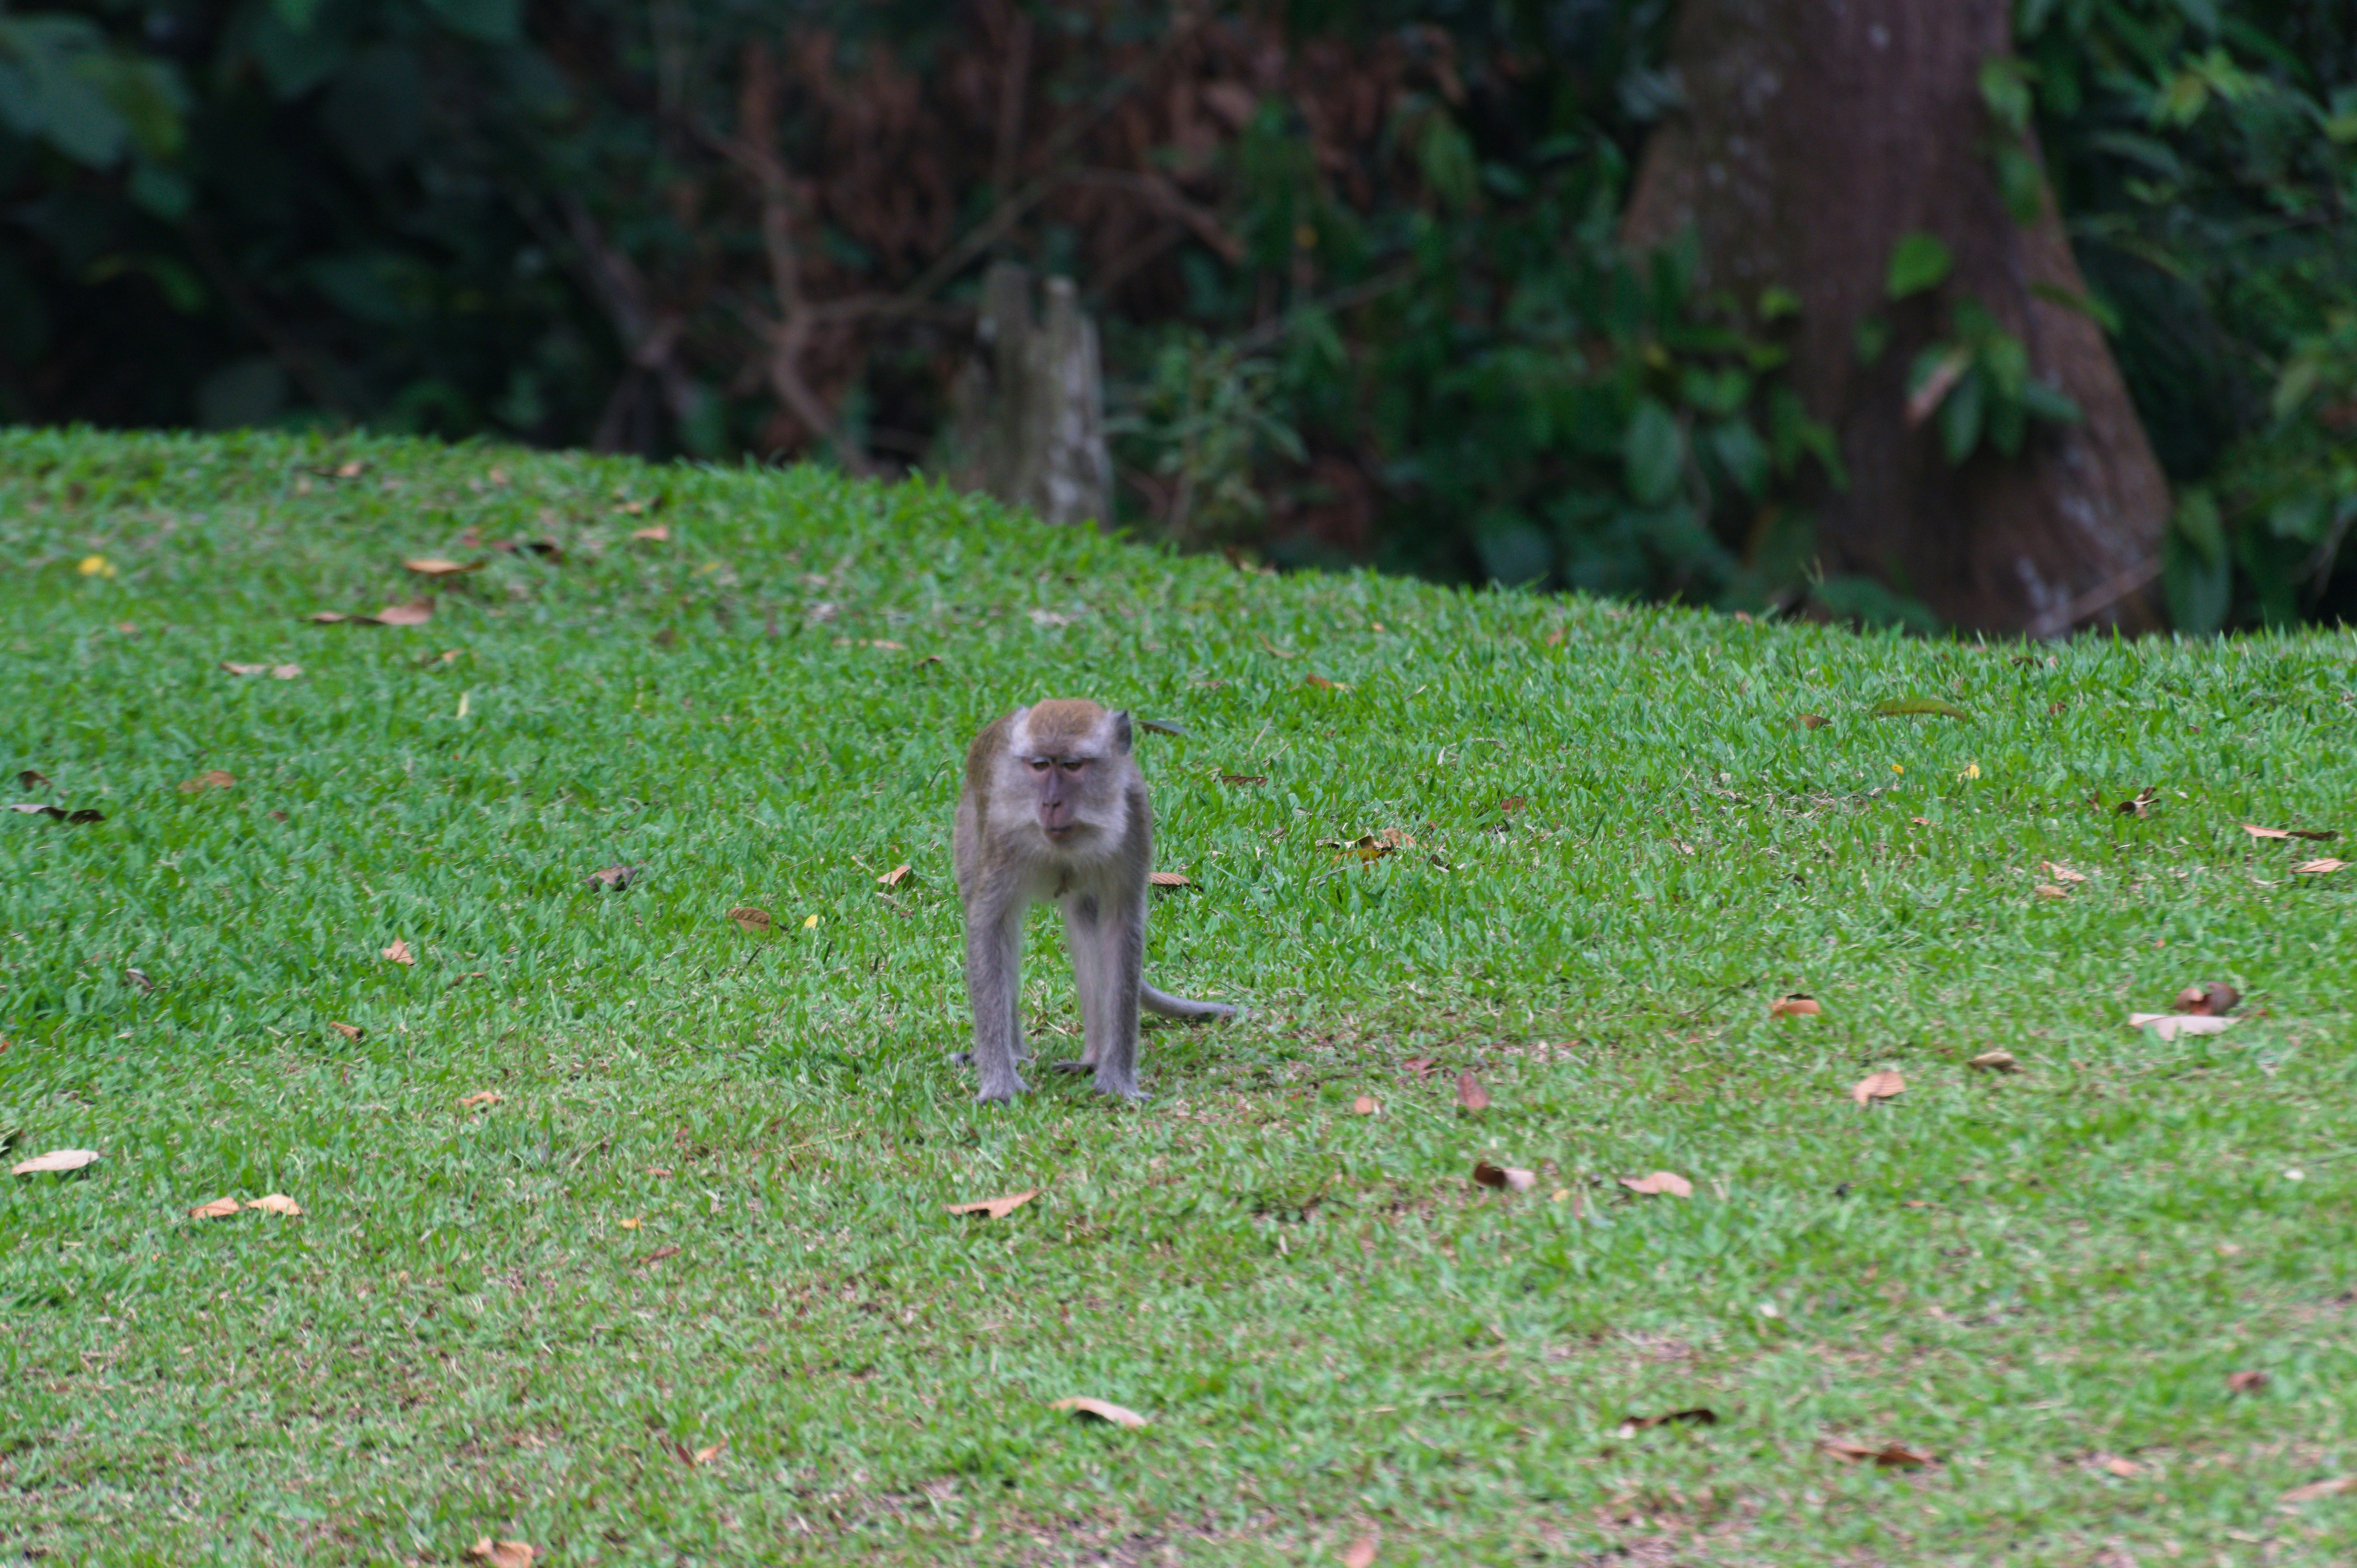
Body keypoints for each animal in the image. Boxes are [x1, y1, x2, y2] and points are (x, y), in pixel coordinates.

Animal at [952, 699, 1237, 1104]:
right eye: (1040, 766)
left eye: (1073, 766)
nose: (1051, 802)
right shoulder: (1000, 834)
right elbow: (989, 926)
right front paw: (999, 1083)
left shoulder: (1134, 822)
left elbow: (1120, 931)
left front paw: (1116, 1080)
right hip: (969, 825)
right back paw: (1016, 1054)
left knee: (1086, 922)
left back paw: (1091, 1059)